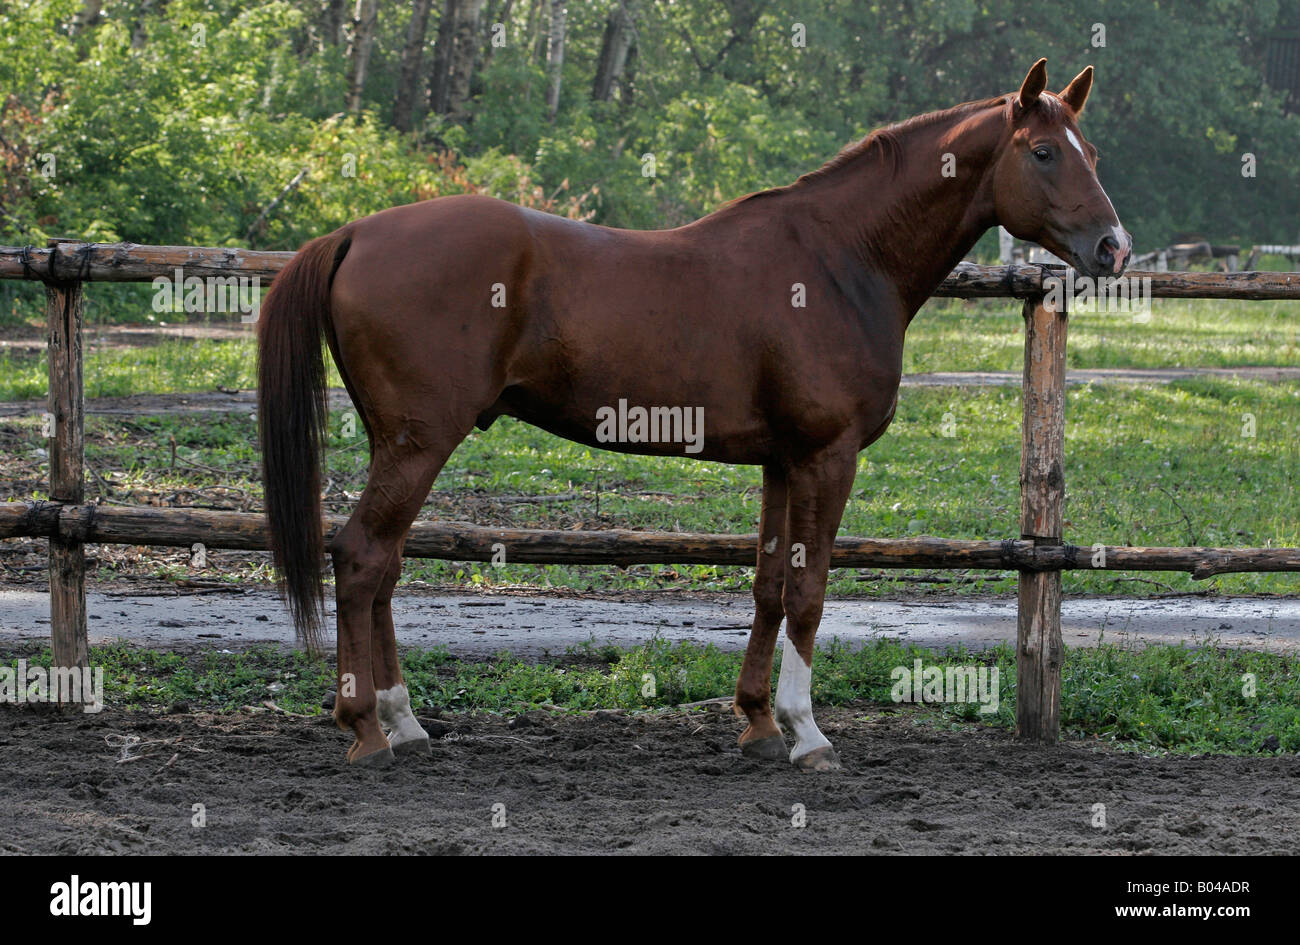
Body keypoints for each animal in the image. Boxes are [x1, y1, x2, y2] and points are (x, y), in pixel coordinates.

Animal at [257, 59, 1131, 768]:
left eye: (1092, 152)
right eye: (1043, 152)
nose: (1115, 249)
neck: (841, 259)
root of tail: (356, 232)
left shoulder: (783, 460)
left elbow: (771, 586)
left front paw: (759, 723)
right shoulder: (828, 455)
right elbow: (810, 594)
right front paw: (808, 733)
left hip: (399, 442)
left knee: (384, 568)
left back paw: (405, 723)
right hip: (419, 441)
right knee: (362, 557)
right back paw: (367, 729)